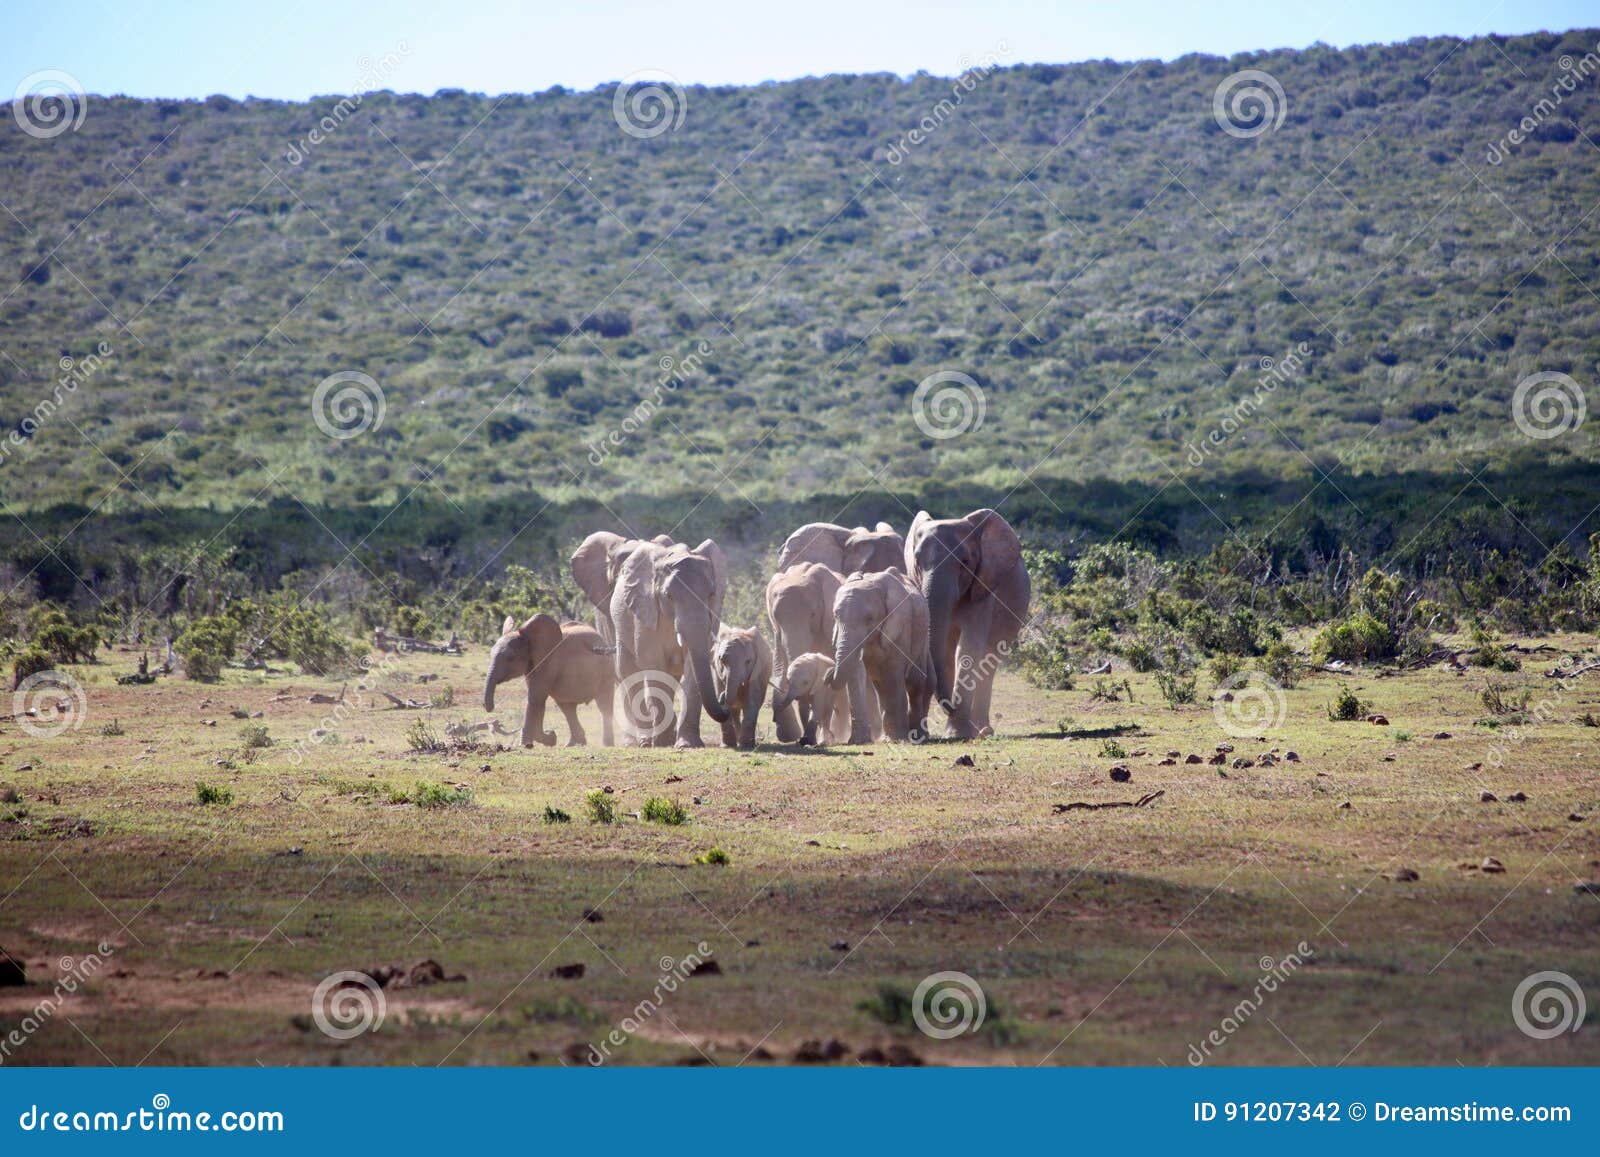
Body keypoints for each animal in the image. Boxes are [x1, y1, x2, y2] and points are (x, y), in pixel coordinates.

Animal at [483, 614, 616, 747]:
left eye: (511, 658)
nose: (490, 708)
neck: (530, 639)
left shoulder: (548, 663)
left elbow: (535, 698)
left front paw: (526, 745)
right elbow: (539, 700)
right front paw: (551, 738)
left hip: (606, 672)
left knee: (604, 705)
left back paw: (606, 745)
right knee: (567, 707)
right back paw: (573, 744)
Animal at [609, 538, 730, 748]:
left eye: (711, 595)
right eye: (669, 596)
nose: (724, 700)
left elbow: (692, 670)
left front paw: (687, 745)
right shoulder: (645, 610)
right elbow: (653, 664)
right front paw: (660, 742)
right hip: (620, 622)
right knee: (628, 671)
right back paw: (643, 741)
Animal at [826, 569, 934, 743]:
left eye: (870, 619)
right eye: (836, 616)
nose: (828, 673)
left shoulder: (900, 627)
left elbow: (893, 675)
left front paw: (898, 740)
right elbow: (856, 672)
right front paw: (858, 741)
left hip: (923, 635)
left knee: (914, 682)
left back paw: (917, 736)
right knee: (880, 684)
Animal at [905, 508, 1030, 739]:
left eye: (964, 562)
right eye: (917, 561)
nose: (950, 705)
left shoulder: (984, 585)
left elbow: (968, 649)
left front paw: (957, 735)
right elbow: (946, 649)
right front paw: (955, 733)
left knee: (990, 659)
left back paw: (983, 731)